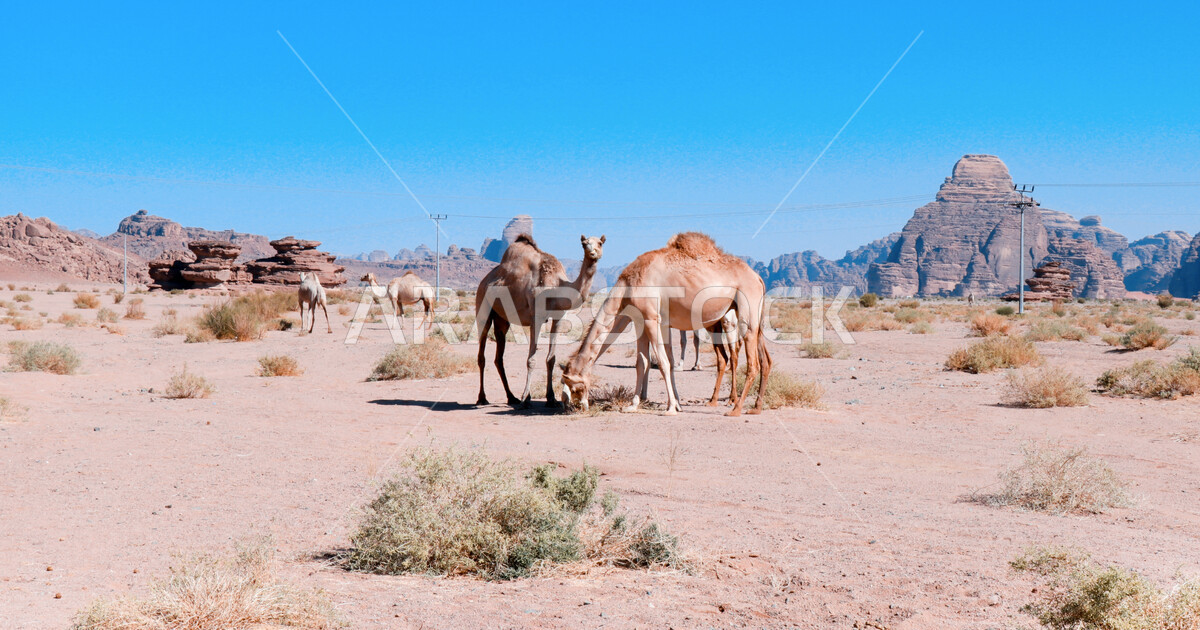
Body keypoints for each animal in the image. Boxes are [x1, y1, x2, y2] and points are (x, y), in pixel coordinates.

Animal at [475, 234, 605, 408]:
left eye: (600, 243)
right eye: (584, 244)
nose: (593, 253)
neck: (557, 286)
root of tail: (484, 281)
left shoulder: (558, 318)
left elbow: (551, 359)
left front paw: (551, 398)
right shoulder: (535, 318)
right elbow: (531, 360)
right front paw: (526, 398)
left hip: (502, 319)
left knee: (498, 358)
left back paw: (511, 397)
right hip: (483, 306)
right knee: (482, 355)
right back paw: (482, 398)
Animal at [561, 232, 770, 416]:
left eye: (574, 387)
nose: (576, 407)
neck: (627, 287)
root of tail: (758, 277)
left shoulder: (651, 318)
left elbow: (662, 361)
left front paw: (670, 408)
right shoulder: (643, 321)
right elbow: (645, 362)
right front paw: (636, 405)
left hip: (744, 308)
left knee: (751, 360)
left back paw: (735, 409)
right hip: (753, 316)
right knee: (763, 359)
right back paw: (755, 407)